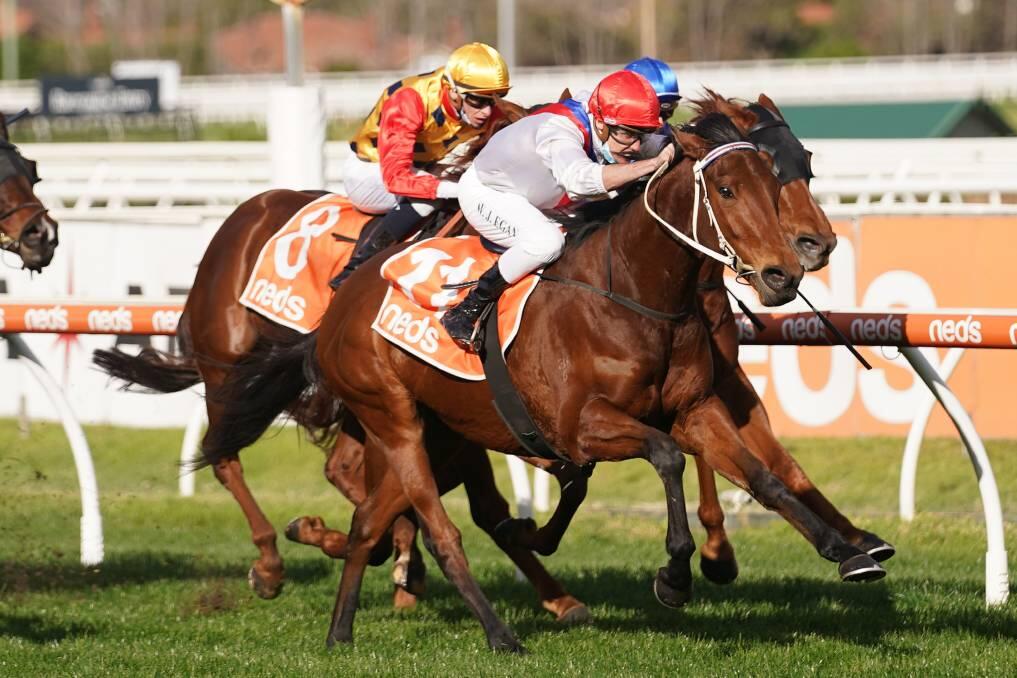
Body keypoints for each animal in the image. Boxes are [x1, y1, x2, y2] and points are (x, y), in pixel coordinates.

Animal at [206, 112, 883, 651]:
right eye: (725, 188)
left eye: (782, 183)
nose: (784, 271)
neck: (632, 294)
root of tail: (341, 302)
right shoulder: (579, 426)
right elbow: (666, 456)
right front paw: (674, 574)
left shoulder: (695, 408)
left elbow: (763, 476)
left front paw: (846, 549)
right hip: (391, 418)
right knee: (439, 527)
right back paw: (496, 631)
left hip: (431, 430)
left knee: (370, 519)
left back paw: (341, 629)